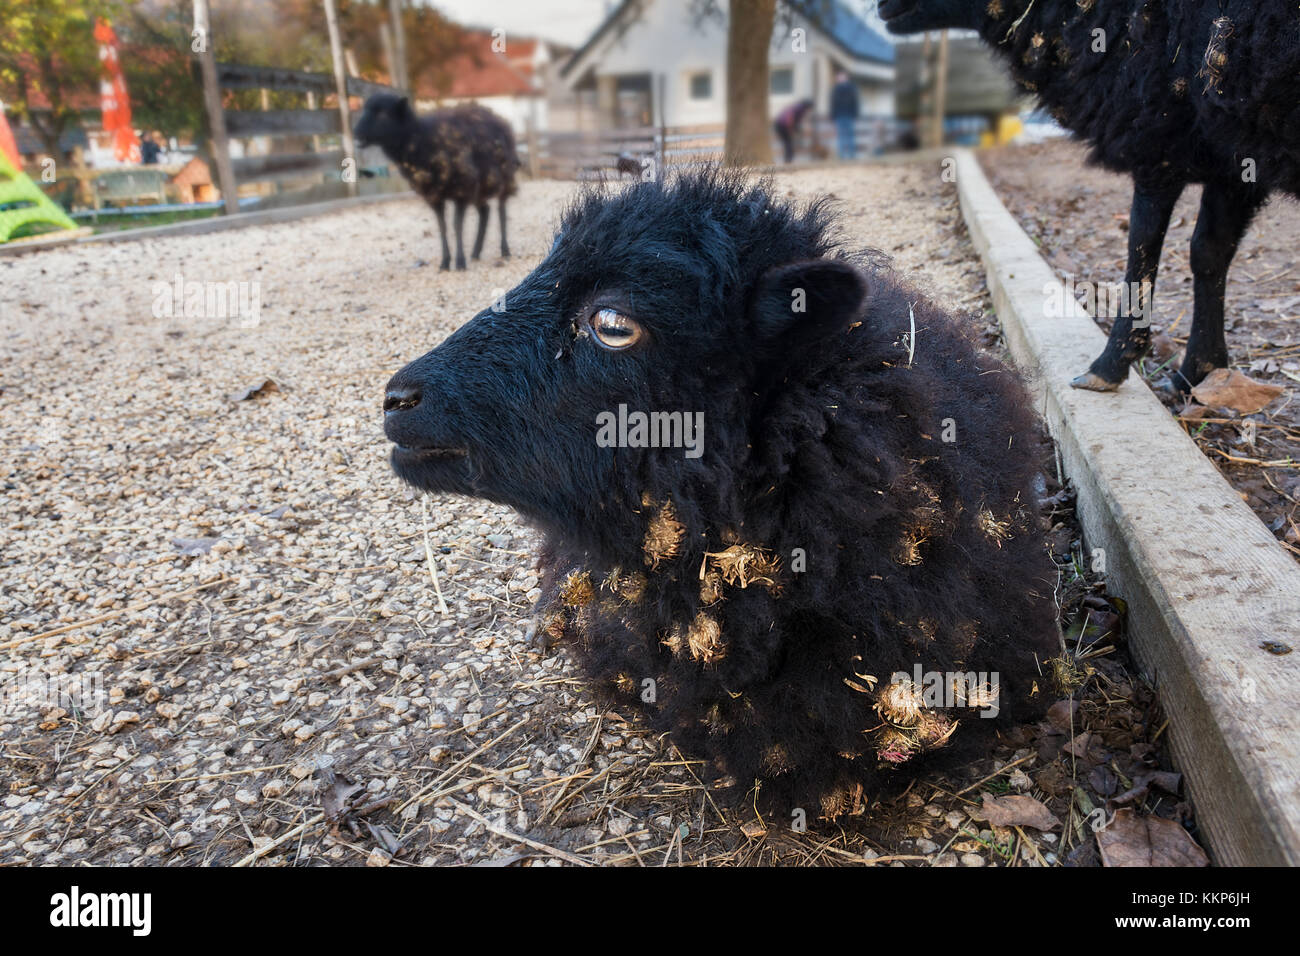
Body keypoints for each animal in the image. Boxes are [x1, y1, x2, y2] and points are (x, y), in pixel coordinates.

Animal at [353, 94, 518, 271]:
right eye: (364, 109)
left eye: (383, 114)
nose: (356, 133)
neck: (421, 139)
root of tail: (496, 116)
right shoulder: (434, 195)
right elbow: (442, 227)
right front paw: (445, 263)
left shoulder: (462, 188)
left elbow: (456, 225)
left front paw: (460, 262)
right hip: (480, 185)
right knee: (485, 211)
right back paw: (475, 252)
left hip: (503, 177)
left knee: (501, 211)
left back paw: (505, 251)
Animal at [879, 0, 1300, 392]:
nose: (881, 7)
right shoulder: (1231, 157)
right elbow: (1209, 253)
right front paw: (1198, 371)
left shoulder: (1157, 133)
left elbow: (1141, 247)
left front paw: (1110, 365)